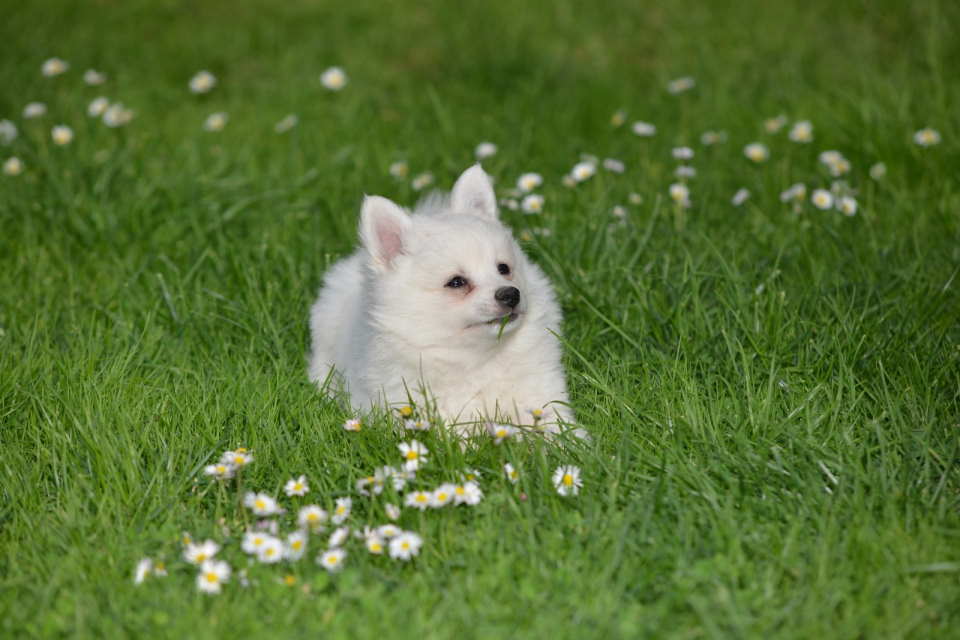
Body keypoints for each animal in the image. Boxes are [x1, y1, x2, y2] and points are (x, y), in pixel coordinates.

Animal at [310, 162, 576, 438]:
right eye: (456, 282)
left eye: (504, 268)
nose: (511, 294)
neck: (479, 358)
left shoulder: (539, 392)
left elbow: (556, 424)